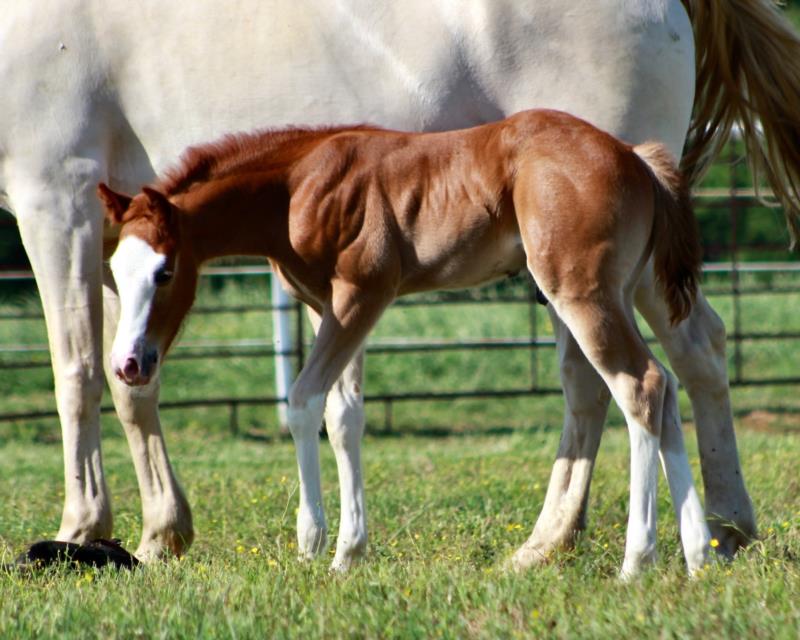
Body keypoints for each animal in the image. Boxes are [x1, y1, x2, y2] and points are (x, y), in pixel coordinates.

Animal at [98, 109, 710, 576]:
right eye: (115, 271)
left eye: (165, 272)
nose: (128, 364)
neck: (295, 187)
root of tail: (634, 156)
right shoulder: (326, 308)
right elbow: (344, 416)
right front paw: (349, 553)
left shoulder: (361, 295)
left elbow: (303, 401)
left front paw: (312, 543)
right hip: (624, 291)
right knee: (666, 389)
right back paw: (699, 554)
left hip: (580, 292)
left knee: (640, 384)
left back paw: (637, 562)